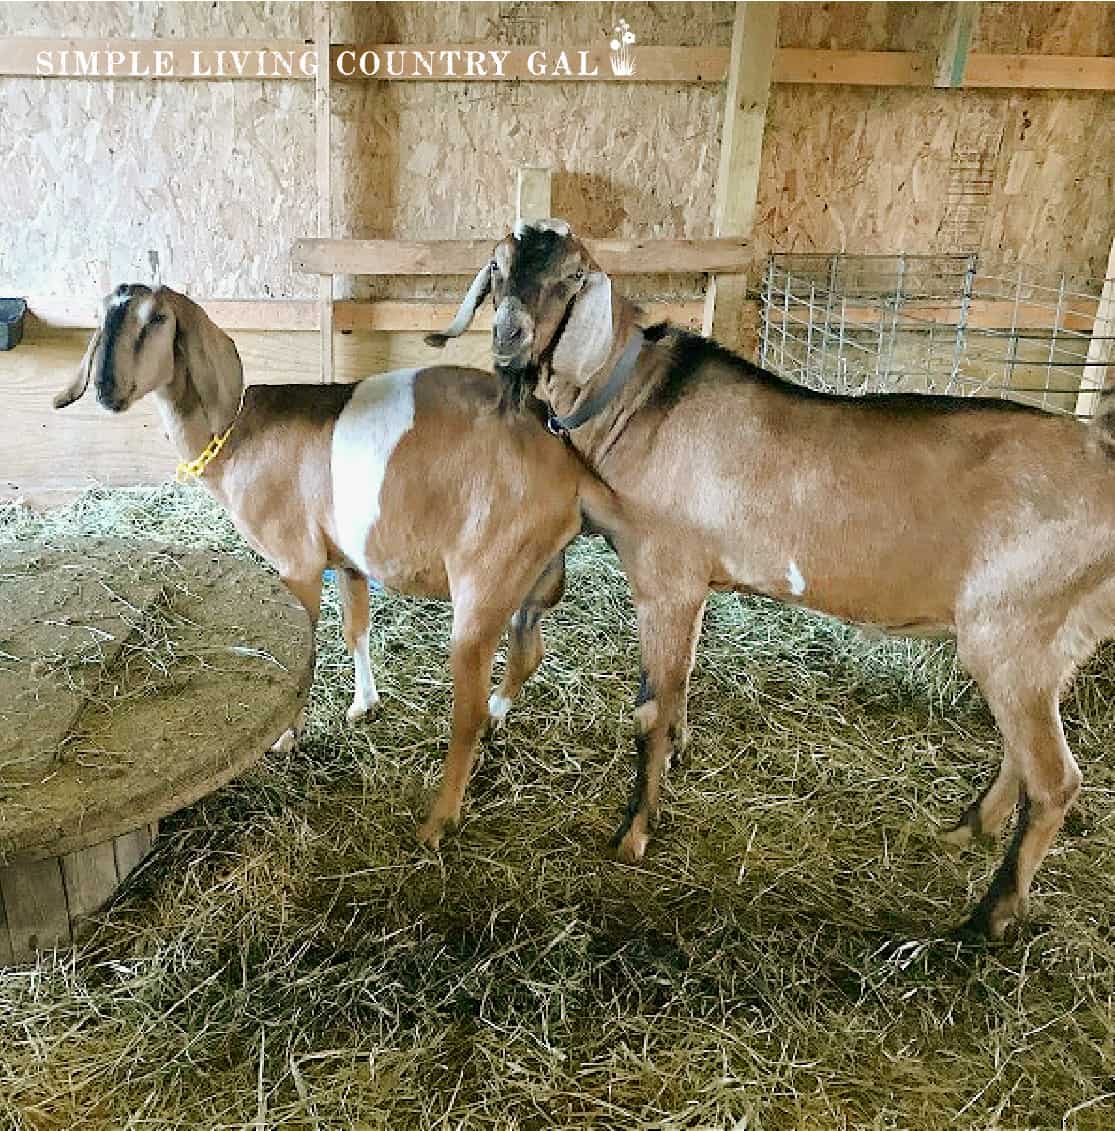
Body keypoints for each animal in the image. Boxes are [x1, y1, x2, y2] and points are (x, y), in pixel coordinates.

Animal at [55, 283, 617, 848]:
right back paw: (499, 717)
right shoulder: (349, 560)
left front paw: (285, 737)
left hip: (484, 585)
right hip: (534, 580)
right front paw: (363, 704)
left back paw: (438, 821)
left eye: (158, 318)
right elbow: (356, 631)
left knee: (469, 709)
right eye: (103, 317)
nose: (105, 389)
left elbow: (304, 655)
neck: (236, 434)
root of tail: (571, 473)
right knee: (528, 653)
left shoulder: (297, 562)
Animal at [428, 219, 1115, 940]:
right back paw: (966, 830)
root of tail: (1102, 457)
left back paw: (988, 916)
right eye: (498, 269)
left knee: (1055, 779)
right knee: (1025, 752)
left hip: (1012, 629)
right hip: (1052, 642)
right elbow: (675, 691)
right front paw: (673, 765)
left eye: (569, 279)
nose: (508, 336)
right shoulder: (691, 586)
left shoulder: (666, 575)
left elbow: (650, 709)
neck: (638, 400)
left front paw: (633, 834)